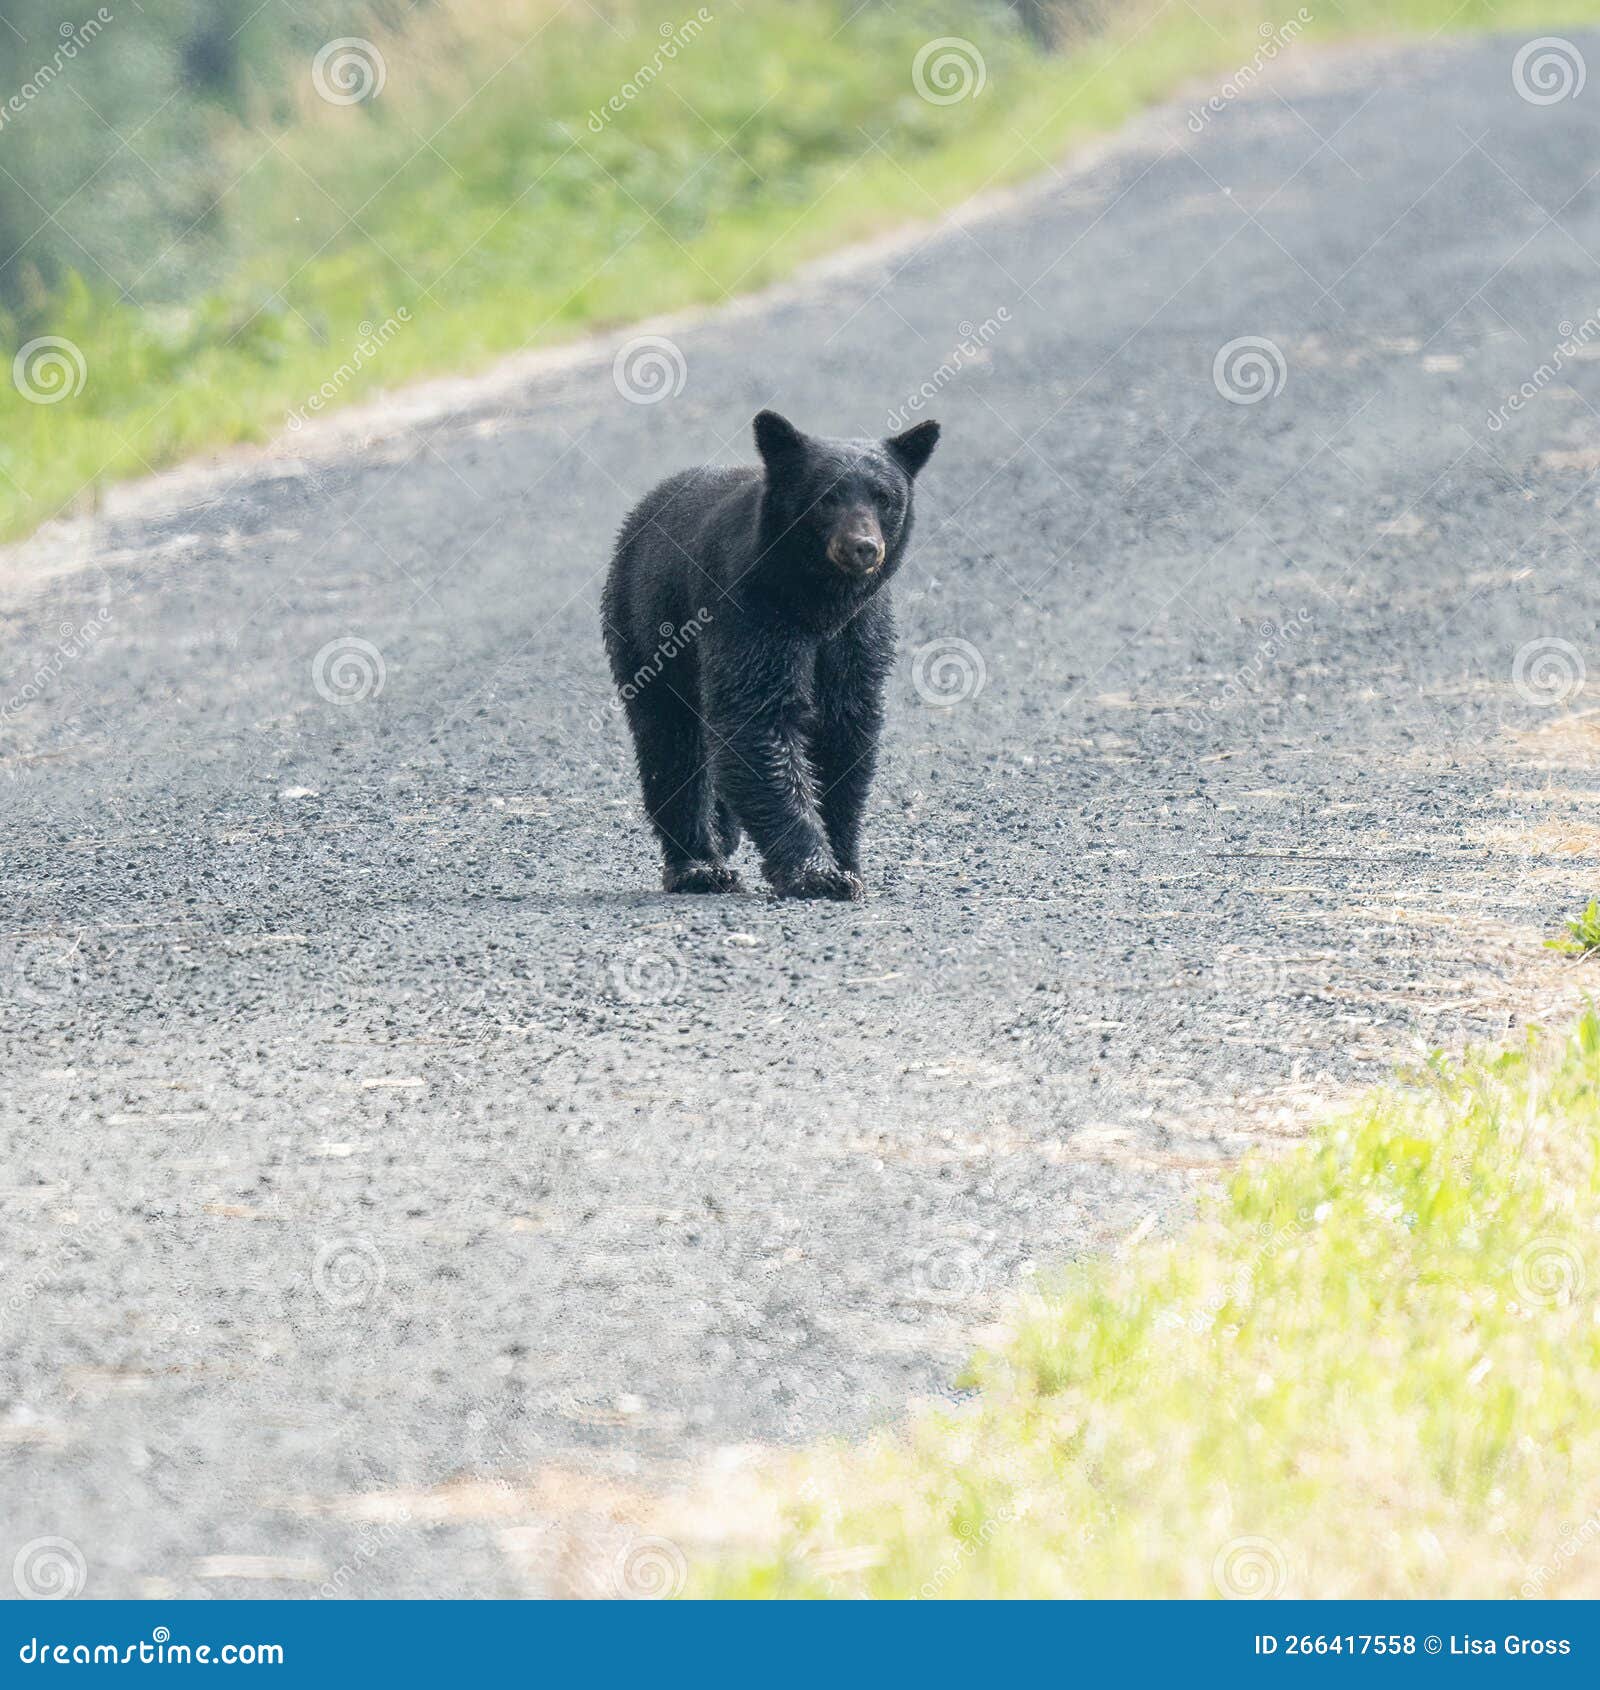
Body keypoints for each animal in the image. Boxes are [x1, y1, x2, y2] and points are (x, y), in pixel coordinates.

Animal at [601, 408, 940, 899]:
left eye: (885, 498)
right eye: (826, 498)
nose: (864, 548)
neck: (818, 604)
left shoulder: (859, 632)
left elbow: (846, 730)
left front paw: (845, 861)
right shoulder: (748, 609)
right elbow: (757, 717)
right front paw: (815, 873)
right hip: (643, 630)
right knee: (671, 743)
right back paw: (698, 865)